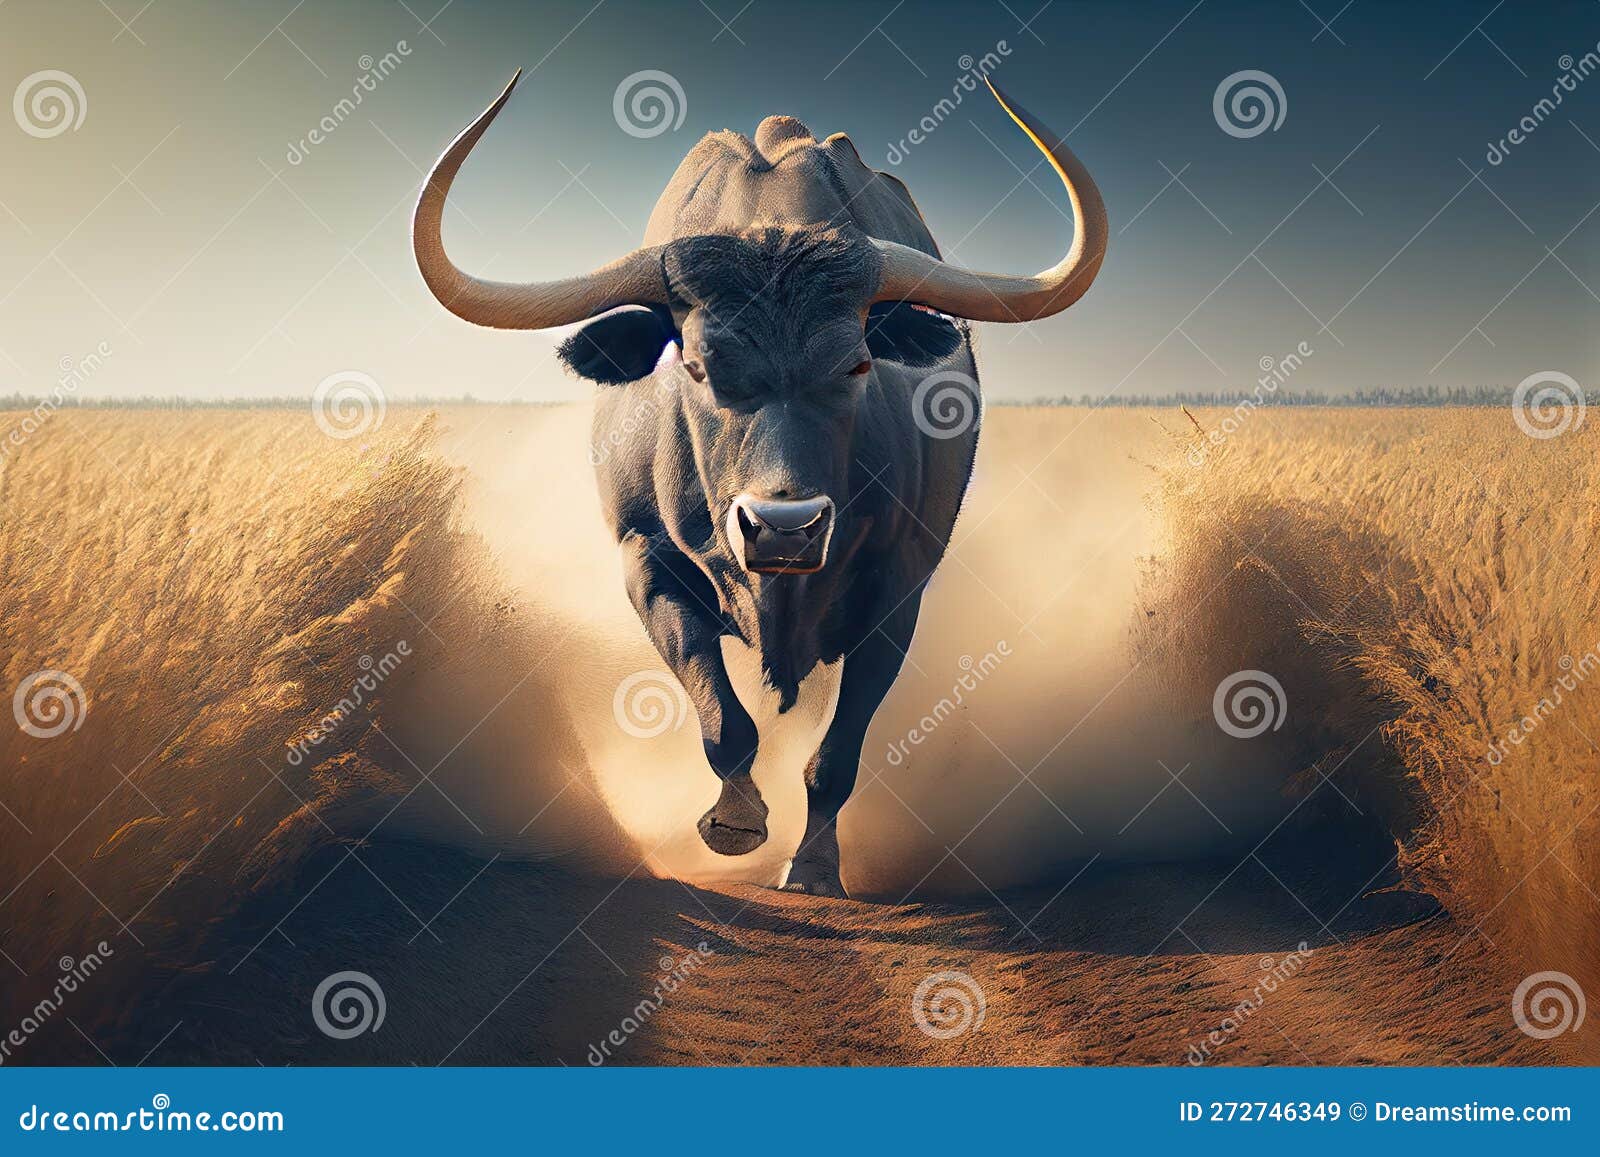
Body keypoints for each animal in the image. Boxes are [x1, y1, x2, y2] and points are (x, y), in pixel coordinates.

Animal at [413, 71, 1106, 897]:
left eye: (857, 363)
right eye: (695, 364)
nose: (785, 527)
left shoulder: (898, 588)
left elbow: (836, 756)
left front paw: (812, 866)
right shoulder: (645, 565)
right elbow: (723, 719)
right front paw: (736, 820)